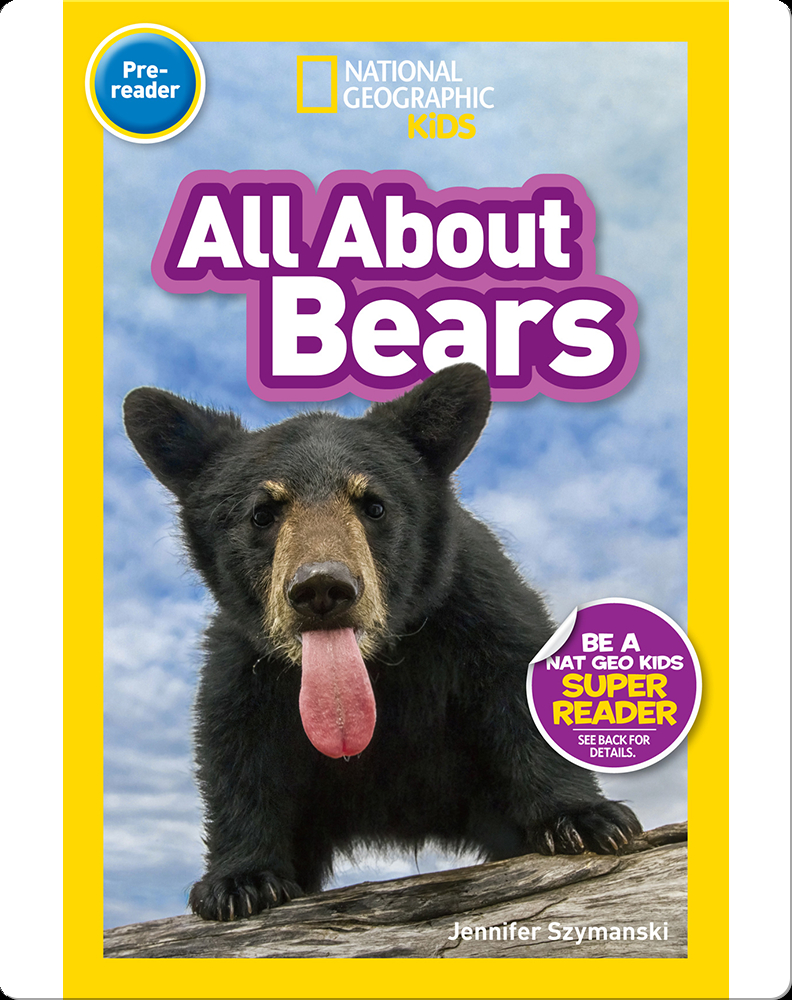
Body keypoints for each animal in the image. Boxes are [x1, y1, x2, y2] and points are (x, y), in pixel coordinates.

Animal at [123, 363, 641, 921]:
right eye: (263, 512)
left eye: (374, 506)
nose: (322, 588)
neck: (379, 665)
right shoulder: (245, 659)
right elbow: (236, 744)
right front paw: (239, 881)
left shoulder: (477, 605)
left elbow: (518, 687)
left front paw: (587, 819)